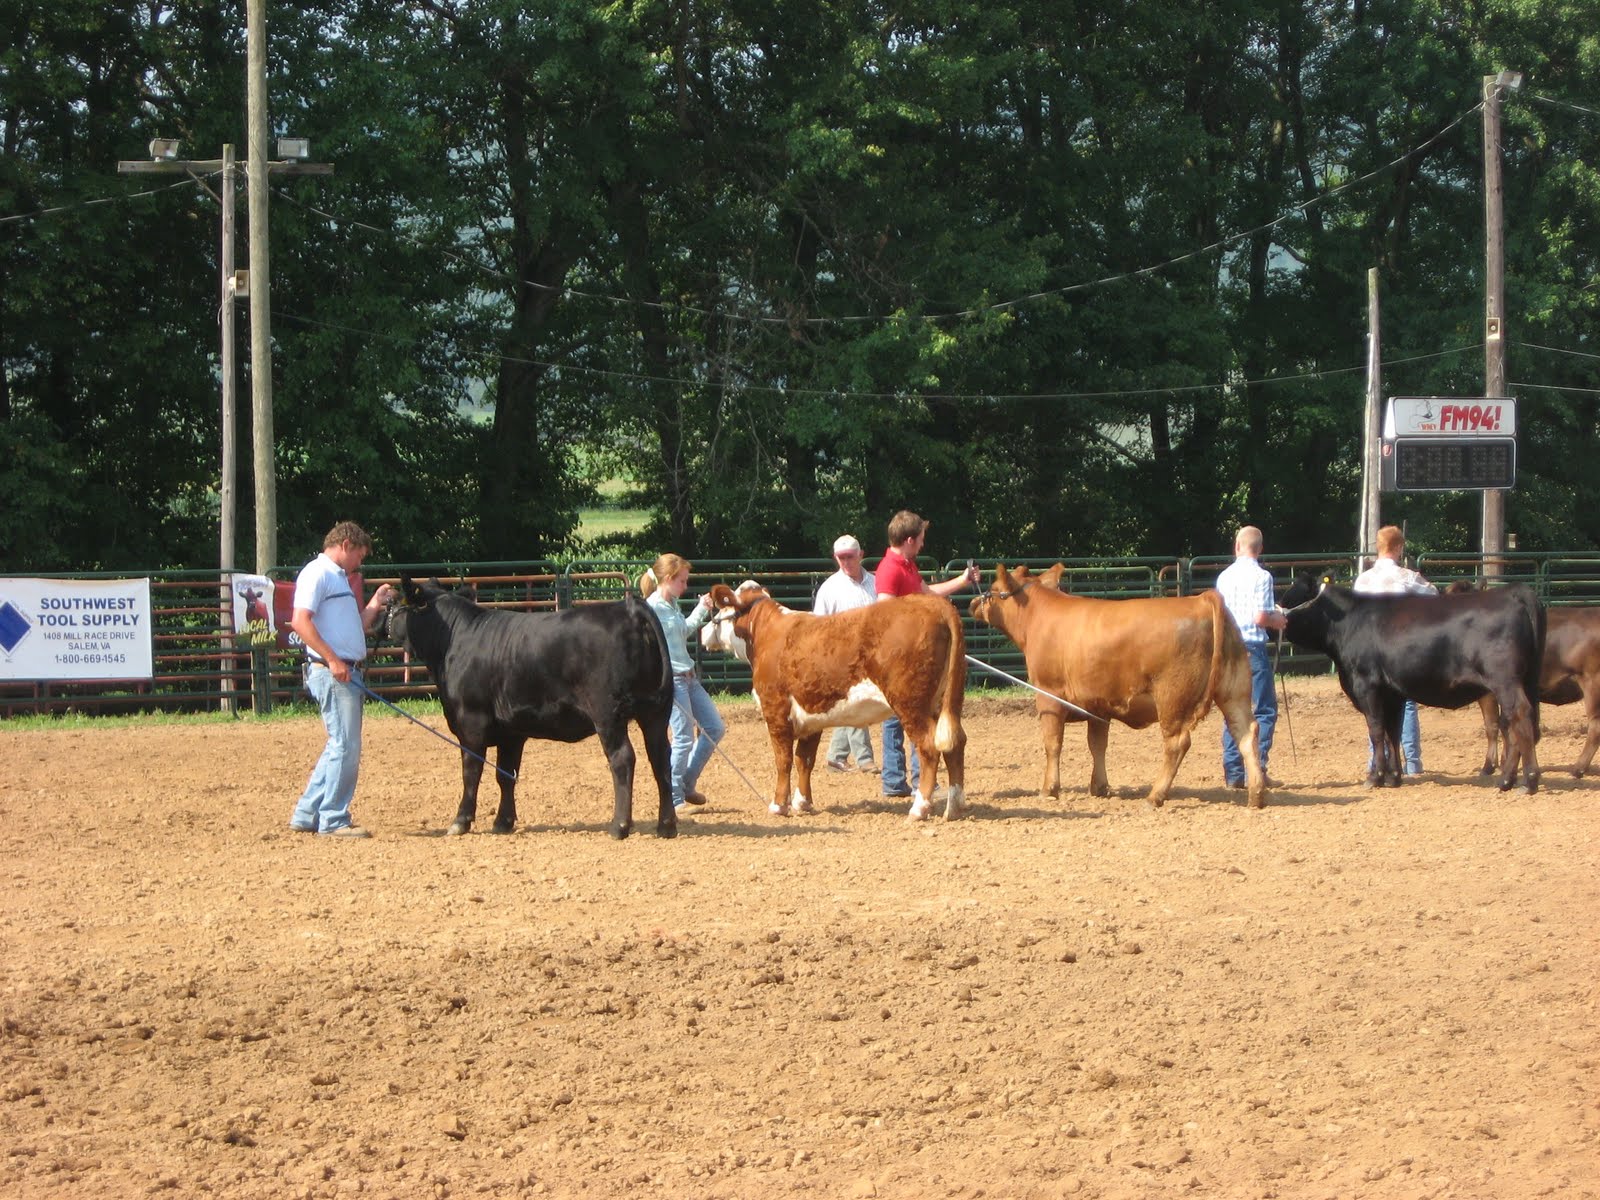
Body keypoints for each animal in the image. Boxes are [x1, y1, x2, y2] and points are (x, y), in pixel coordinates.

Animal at [385, 575, 677, 838]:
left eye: (395, 601)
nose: (384, 611)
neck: (455, 640)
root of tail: (627, 608)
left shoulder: (471, 723)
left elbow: (471, 772)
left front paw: (461, 821)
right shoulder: (511, 732)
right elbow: (506, 775)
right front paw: (503, 822)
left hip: (608, 714)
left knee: (623, 759)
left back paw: (619, 826)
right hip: (656, 712)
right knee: (660, 757)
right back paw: (666, 826)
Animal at [699, 582, 967, 822]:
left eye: (720, 610)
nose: (702, 632)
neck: (767, 633)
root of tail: (935, 604)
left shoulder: (775, 710)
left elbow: (783, 760)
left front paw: (778, 806)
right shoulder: (810, 717)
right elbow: (805, 760)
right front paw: (802, 803)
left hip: (910, 704)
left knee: (929, 746)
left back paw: (919, 809)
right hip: (942, 702)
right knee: (955, 743)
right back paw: (954, 807)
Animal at [968, 563, 1268, 809]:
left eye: (993, 590)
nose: (973, 601)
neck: (1039, 617)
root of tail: (1203, 599)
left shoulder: (1049, 695)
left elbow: (1053, 743)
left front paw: (1049, 789)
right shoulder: (1097, 705)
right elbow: (1097, 744)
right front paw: (1099, 787)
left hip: (1172, 696)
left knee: (1177, 742)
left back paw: (1155, 796)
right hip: (1234, 690)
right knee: (1246, 732)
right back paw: (1256, 794)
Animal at [1279, 574, 1544, 792]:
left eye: (1294, 596)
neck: (1350, 622)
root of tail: (1512, 591)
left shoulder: (1367, 685)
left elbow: (1376, 730)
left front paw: (1375, 777)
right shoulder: (1392, 693)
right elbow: (1392, 732)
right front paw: (1394, 777)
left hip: (1504, 681)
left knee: (1519, 715)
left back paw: (1526, 781)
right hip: (1524, 680)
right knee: (1514, 721)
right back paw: (1509, 780)